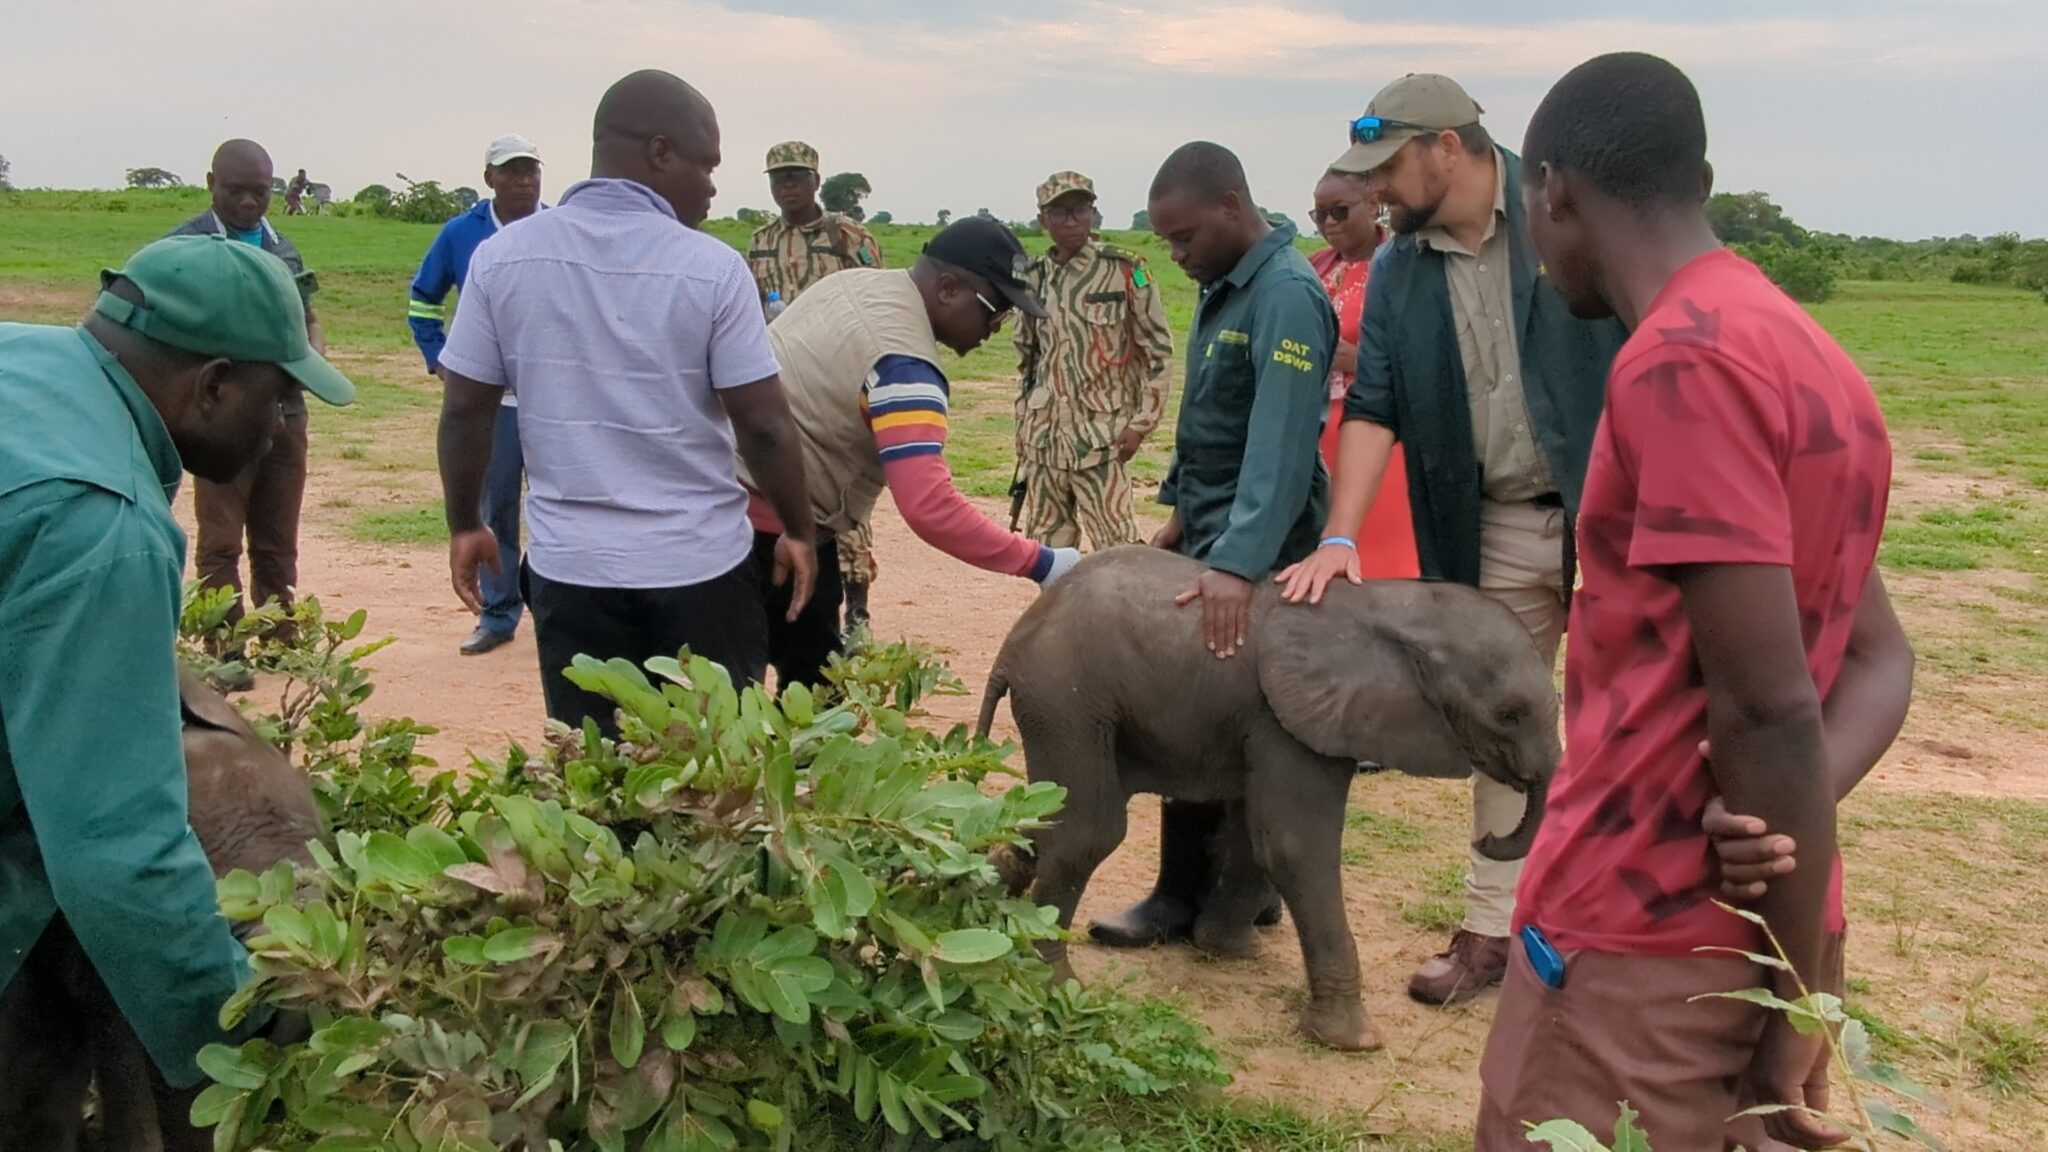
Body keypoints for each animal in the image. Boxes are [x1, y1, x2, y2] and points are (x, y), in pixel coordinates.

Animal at [975, 546, 1560, 1051]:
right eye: (1508, 715)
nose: (1488, 837)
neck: (1394, 607)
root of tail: (1012, 644)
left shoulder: (1273, 722)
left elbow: (1254, 830)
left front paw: (1228, 948)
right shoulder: (1291, 721)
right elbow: (1295, 846)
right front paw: (1352, 1040)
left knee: (1044, 817)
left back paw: (988, 899)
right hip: (1067, 700)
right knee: (1087, 833)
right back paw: (1050, 987)